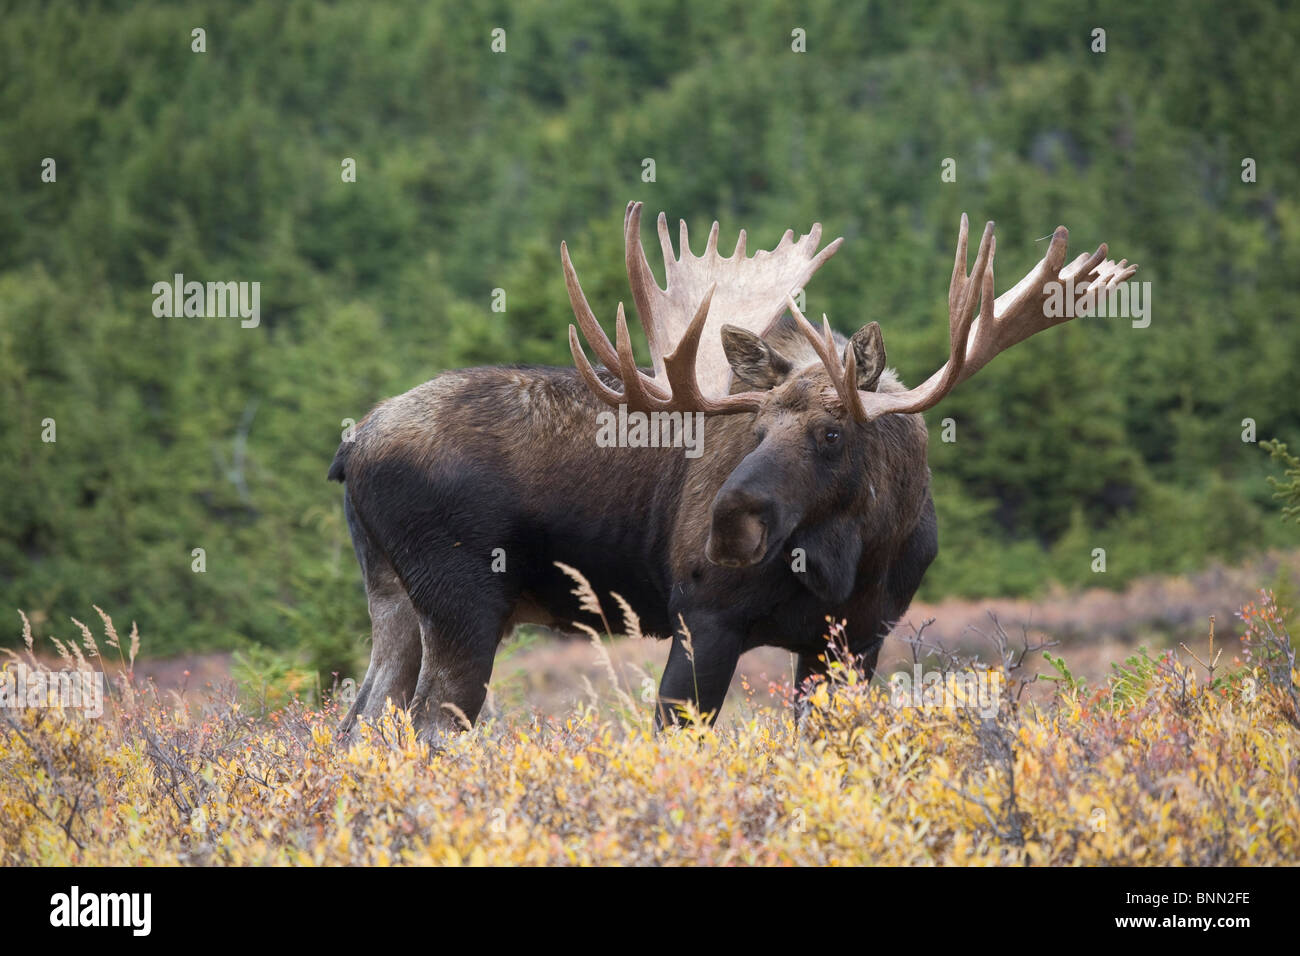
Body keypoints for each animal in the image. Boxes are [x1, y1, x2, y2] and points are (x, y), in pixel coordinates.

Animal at [330, 201, 1135, 739]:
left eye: (833, 431)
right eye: (756, 424)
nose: (726, 523)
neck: (854, 554)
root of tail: (353, 443)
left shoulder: (856, 639)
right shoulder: (704, 618)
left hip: (394, 597)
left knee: (362, 720)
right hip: (464, 598)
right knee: (428, 726)